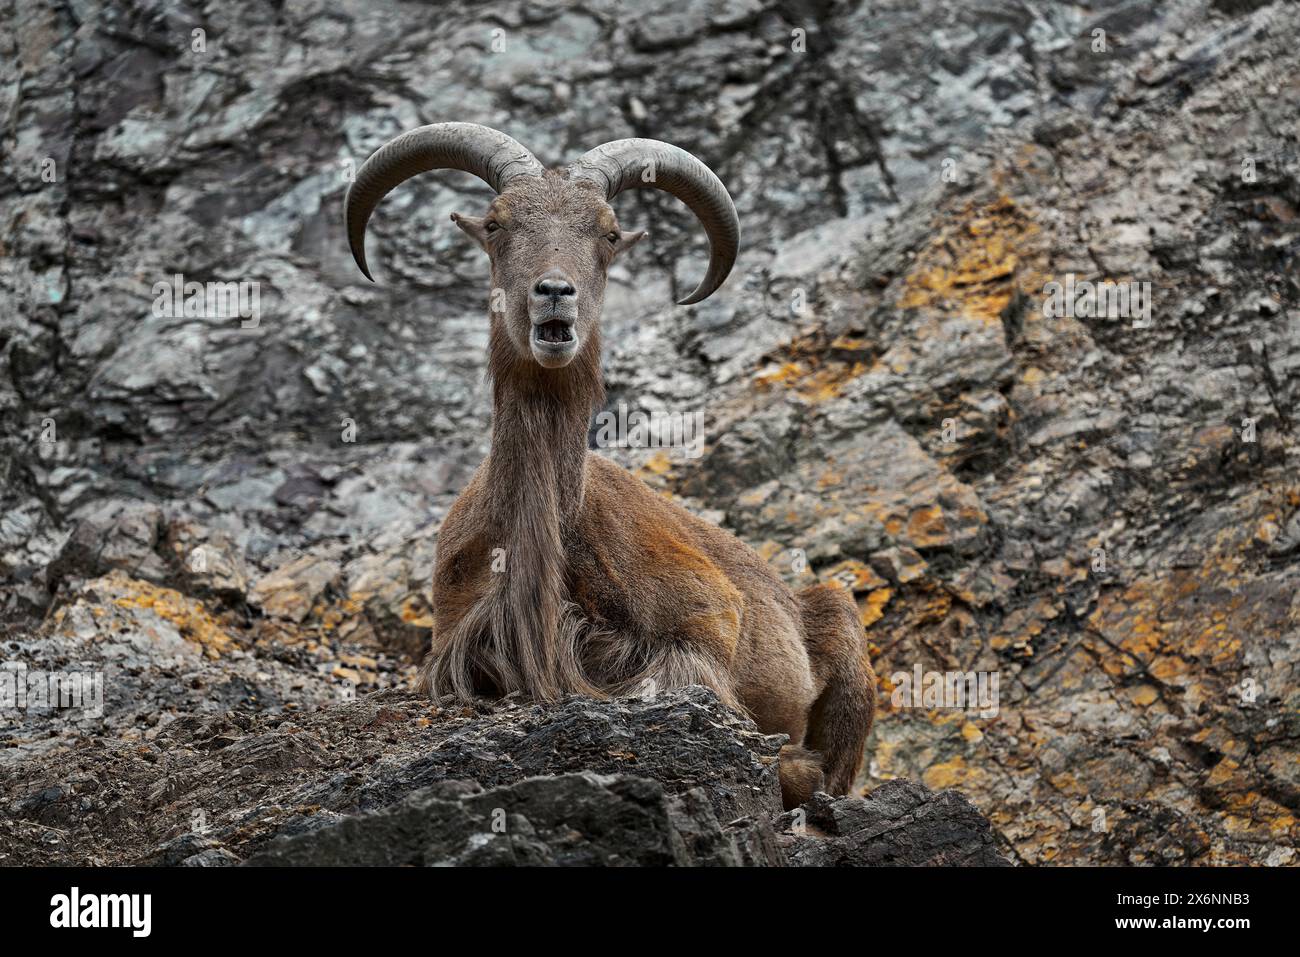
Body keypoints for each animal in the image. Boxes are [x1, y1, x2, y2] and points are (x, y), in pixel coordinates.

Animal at [343, 122, 876, 807]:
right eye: (495, 223)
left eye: (609, 231)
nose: (554, 296)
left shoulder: (706, 627)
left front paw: (790, 763)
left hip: (841, 626)